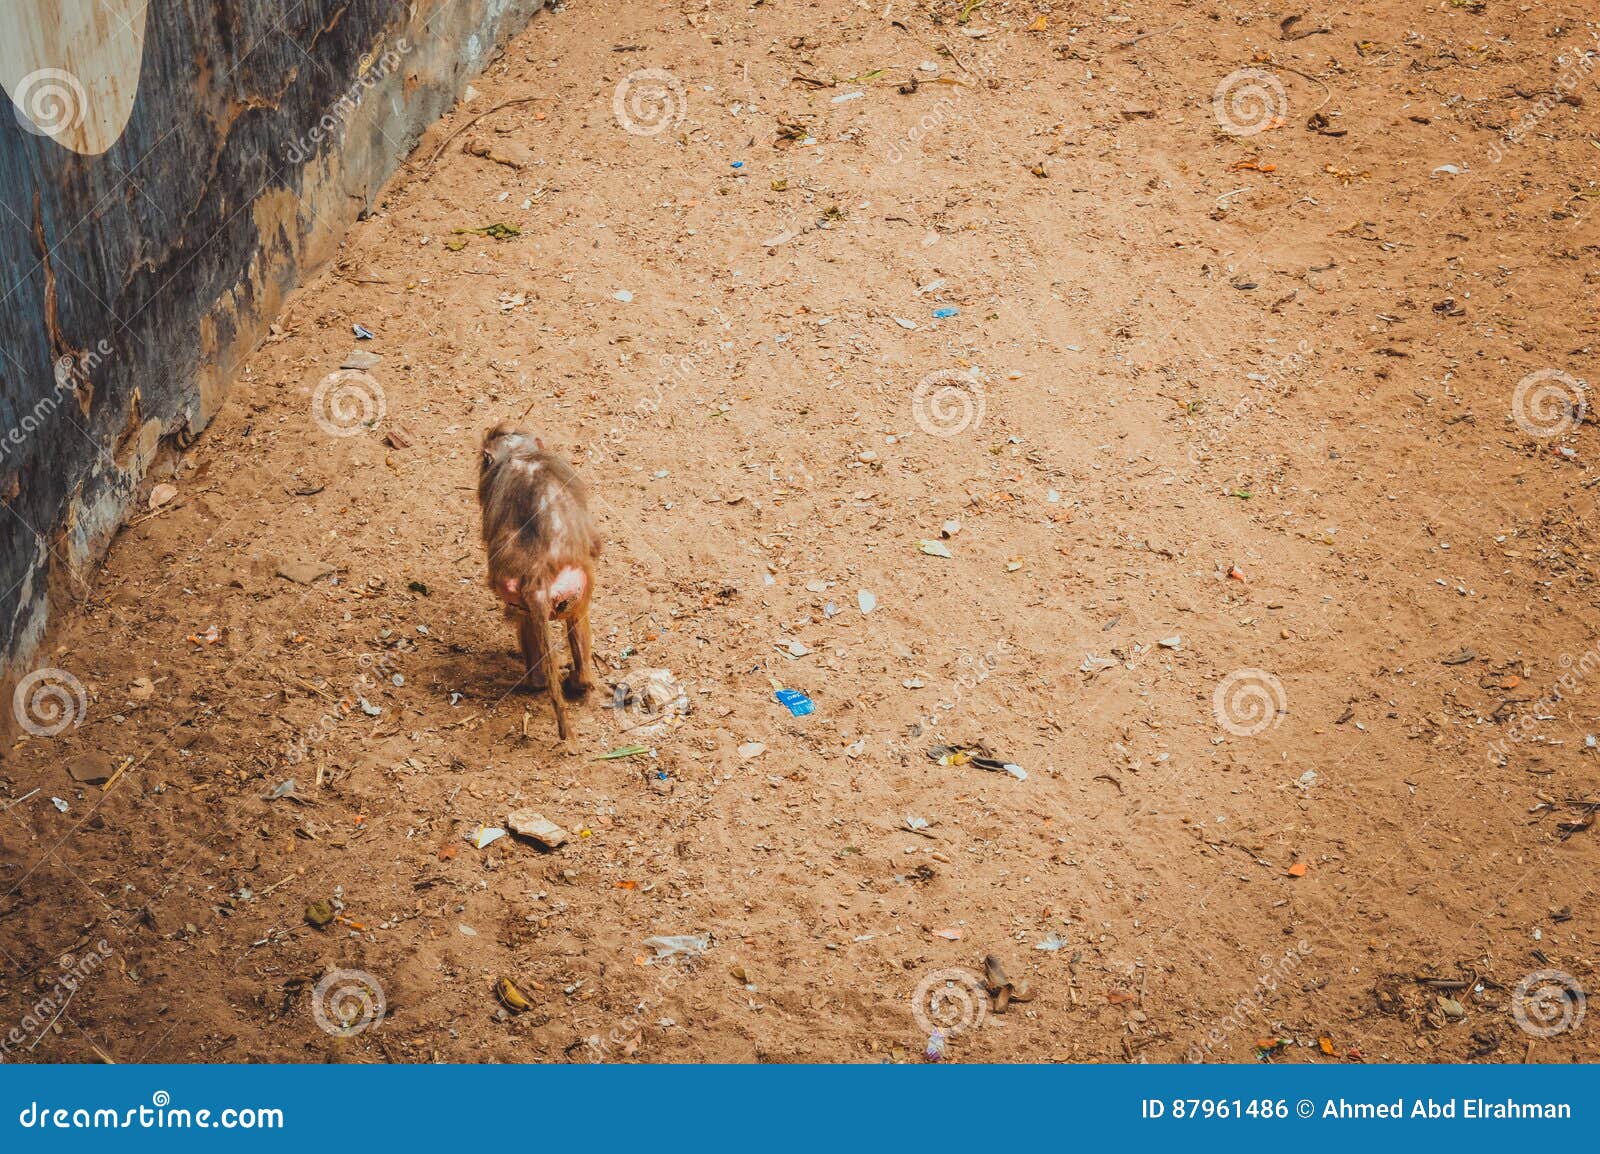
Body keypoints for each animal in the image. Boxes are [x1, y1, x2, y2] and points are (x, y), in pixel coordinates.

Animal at [478, 424, 601, 740]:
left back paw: (537, 682)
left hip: (523, 591)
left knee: (532, 620)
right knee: (576, 619)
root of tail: (538, 573)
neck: (520, 455)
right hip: (572, 587)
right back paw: (579, 683)